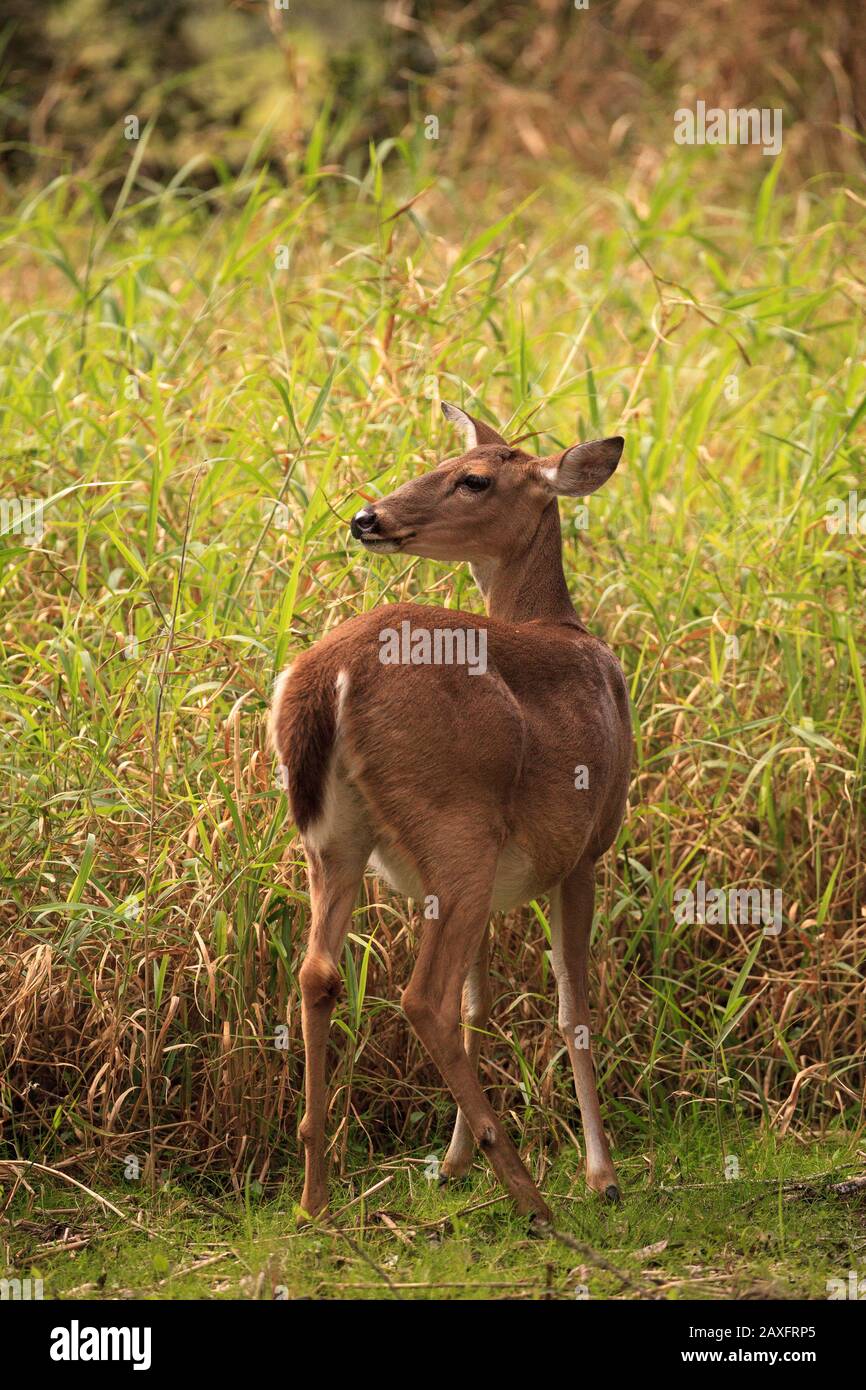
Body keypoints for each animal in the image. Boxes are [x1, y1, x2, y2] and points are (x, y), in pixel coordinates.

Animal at [269, 400, 632, 1227]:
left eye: (471, 477)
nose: (367, 517)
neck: (568, 631)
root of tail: (327, 673)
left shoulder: (498, 882)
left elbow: (482, 1007)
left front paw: (455, 1162)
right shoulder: (584, 851)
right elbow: (572, 1007)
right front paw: (601, 1174)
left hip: (337, 840)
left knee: (318, 972)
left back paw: (314, 1195)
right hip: (455, 826)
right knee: (422, 997)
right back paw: (530, 1194)